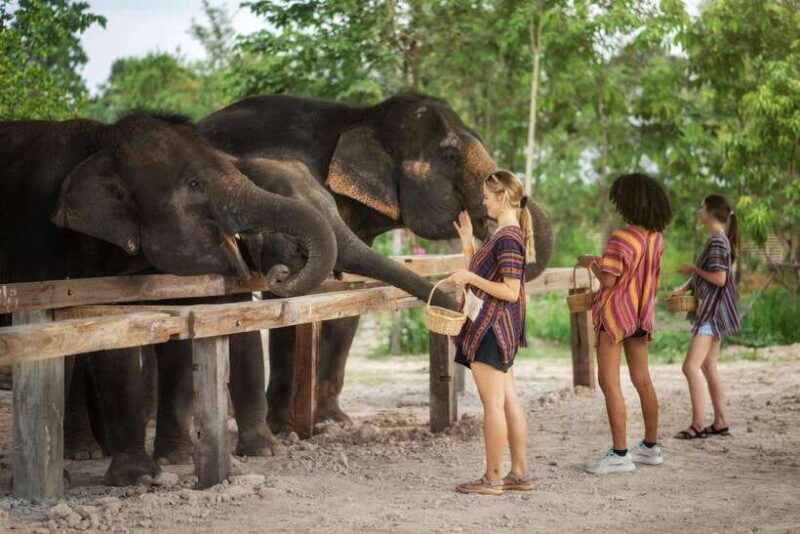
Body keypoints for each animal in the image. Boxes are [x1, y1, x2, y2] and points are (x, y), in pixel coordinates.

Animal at [0, 111, 338, 484]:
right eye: (195, 184)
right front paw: (136, 478)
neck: (100, 142)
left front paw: (165, 465)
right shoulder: (37, 247)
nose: (281, 272)